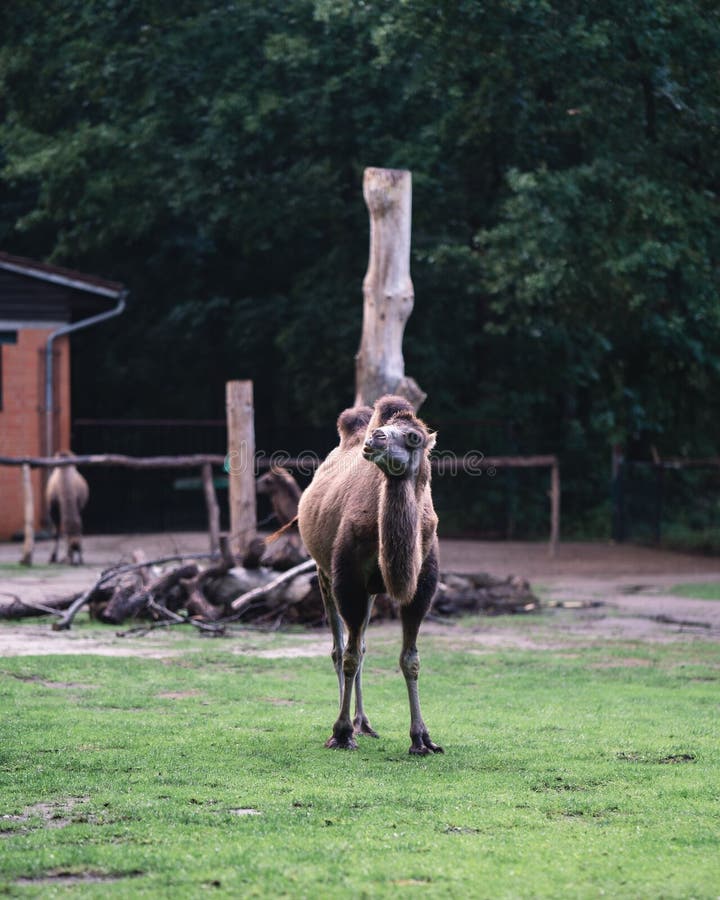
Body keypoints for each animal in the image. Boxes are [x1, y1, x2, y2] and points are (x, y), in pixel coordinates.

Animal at [298, 395, 443, 755]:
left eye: (413, 437)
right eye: (386, 429)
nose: (375, 437)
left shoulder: (422, 584)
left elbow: (410, 659)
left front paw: (422, 738)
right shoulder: (348, 579)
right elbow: (348, 656)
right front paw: (340, 732)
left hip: (373, 591)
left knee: (361, 645)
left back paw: (363, 722)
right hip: (324, 573)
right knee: (340, 650)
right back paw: (348, 722)